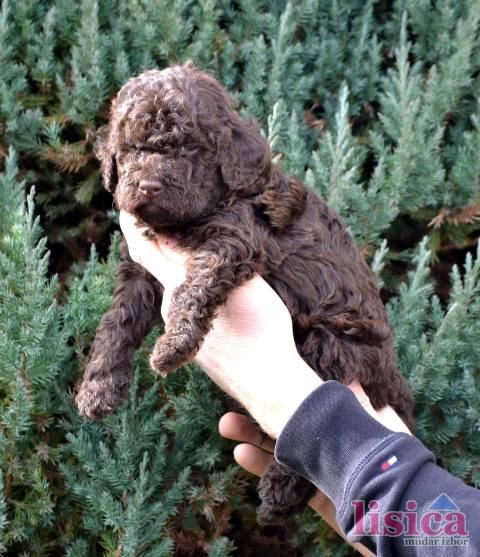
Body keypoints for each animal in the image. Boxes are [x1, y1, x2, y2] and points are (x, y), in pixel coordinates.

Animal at [75, 62, 412, 524]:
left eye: (190, 148)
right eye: (130, 149)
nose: (148, 186)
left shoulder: (233, 241)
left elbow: (193, 287)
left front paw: (173, 346)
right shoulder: (139, 273)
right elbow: (116, 325)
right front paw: (99, 388)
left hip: (330, 346)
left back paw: (278, 493)